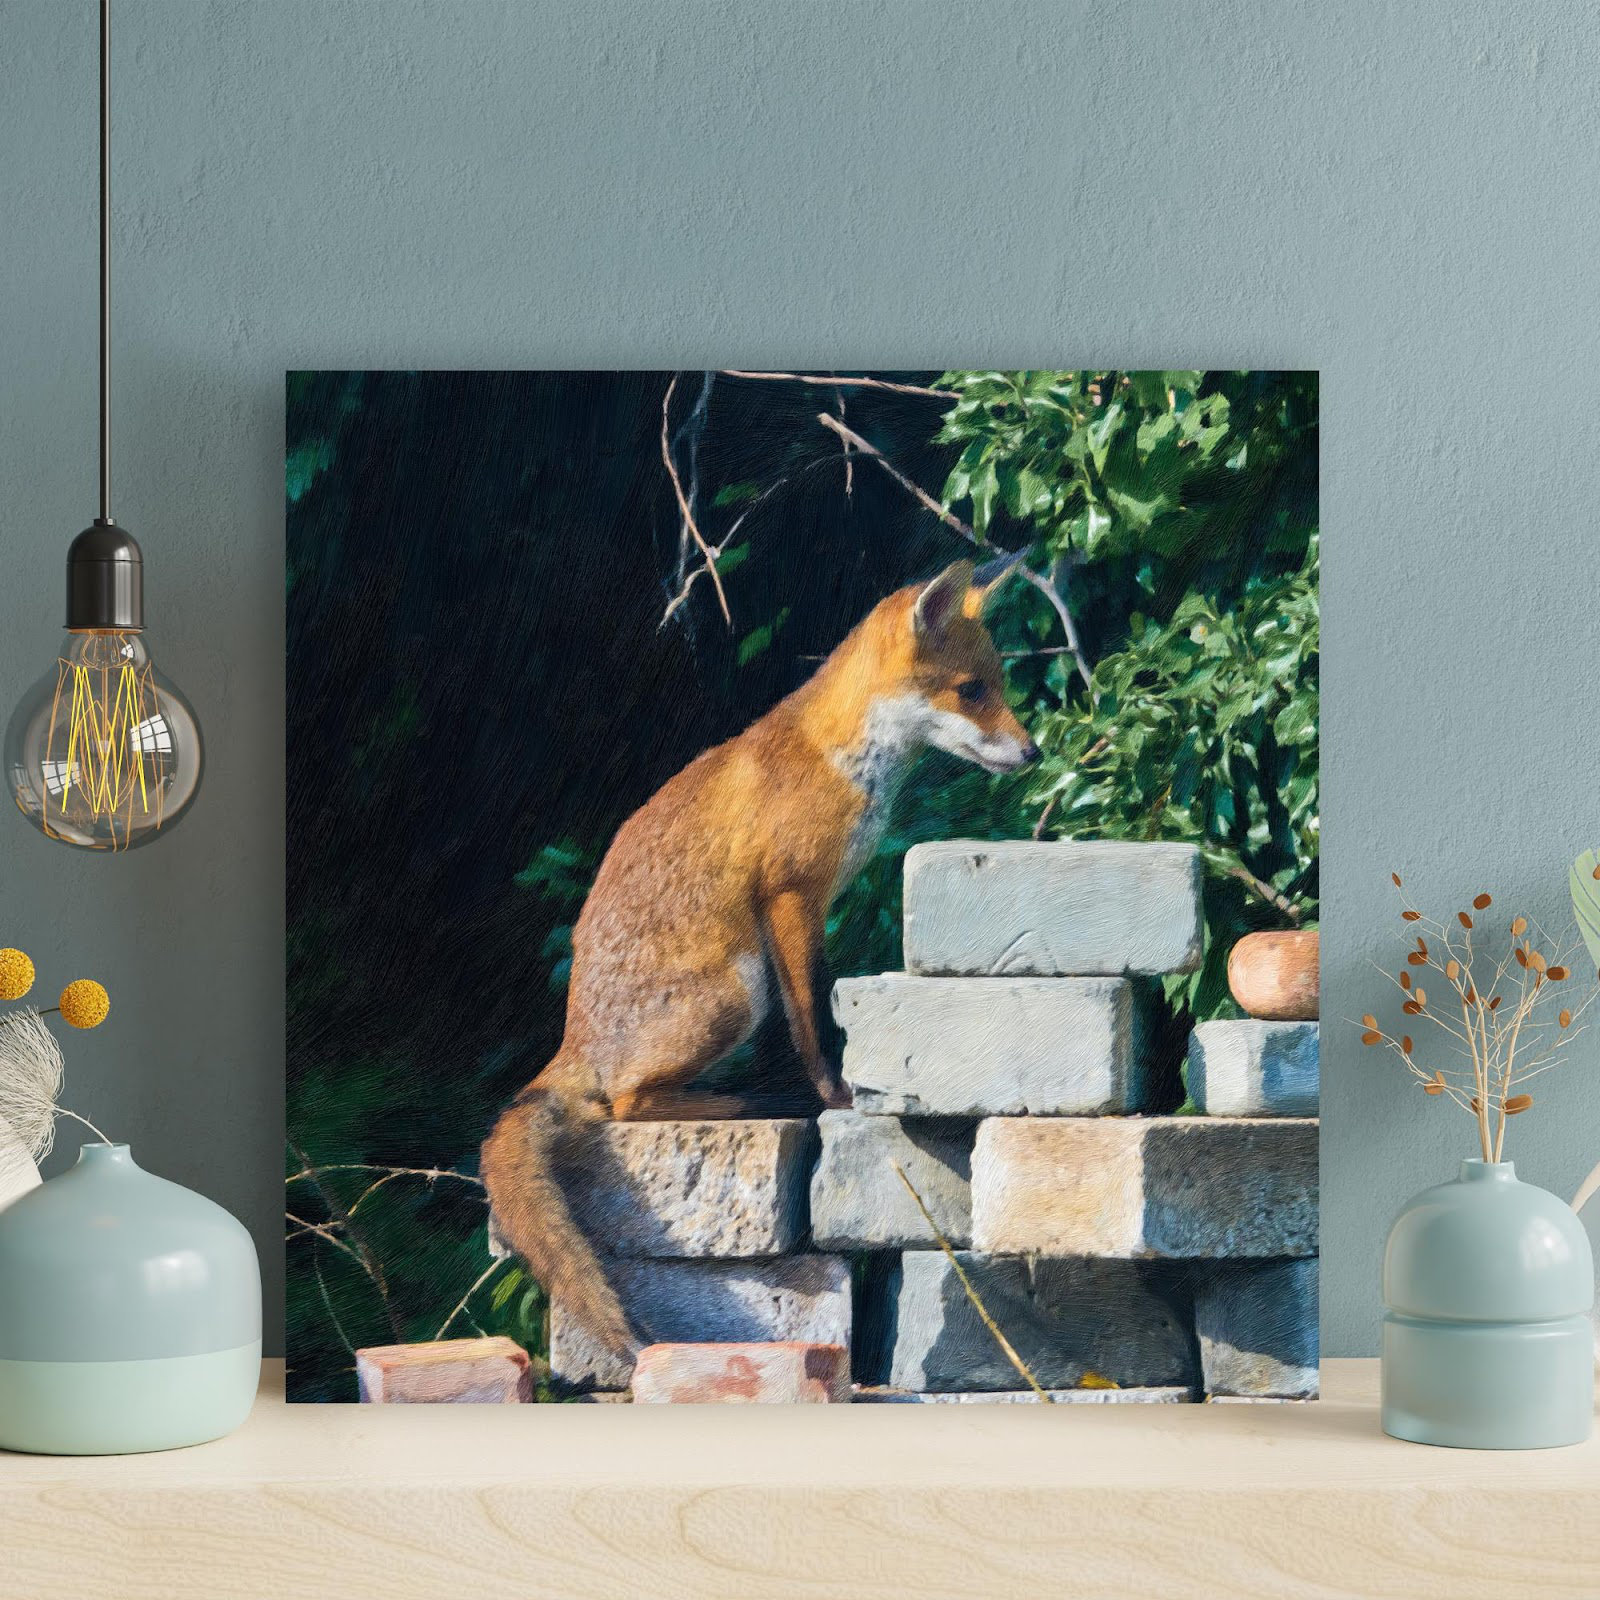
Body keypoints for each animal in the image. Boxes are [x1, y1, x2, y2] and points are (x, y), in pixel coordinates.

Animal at [480, 555, 1038, 1367]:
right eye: (972, 690)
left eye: (997, 683)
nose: (1033, 753)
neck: (841, 759)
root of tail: (573, 1039)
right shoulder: (791, 896)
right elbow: (810, 1015)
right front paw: (833, 1094)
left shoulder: (810, 903)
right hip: (736, 994)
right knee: (623, 1104)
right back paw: (725, 1102)